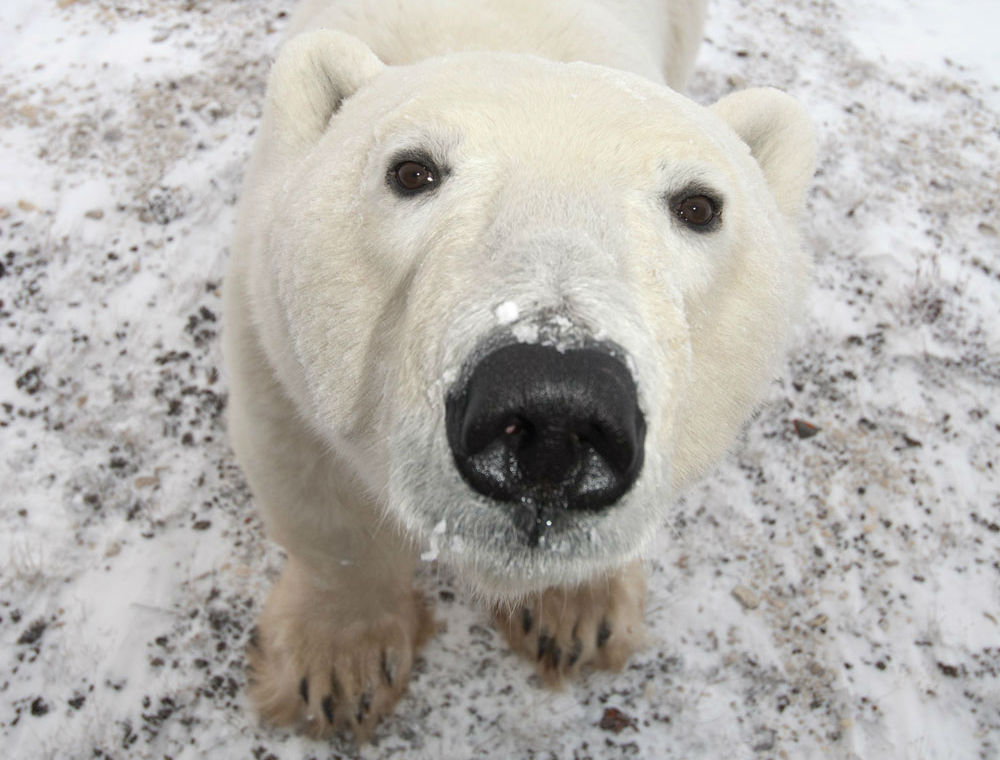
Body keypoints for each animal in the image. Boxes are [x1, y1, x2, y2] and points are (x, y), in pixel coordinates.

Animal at [222, 0, 816, 742]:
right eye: (411, 171)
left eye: (699, 205)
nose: (555, 416)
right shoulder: (271, 343)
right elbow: (315, 494)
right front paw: (335, 669)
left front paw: (576, 616)